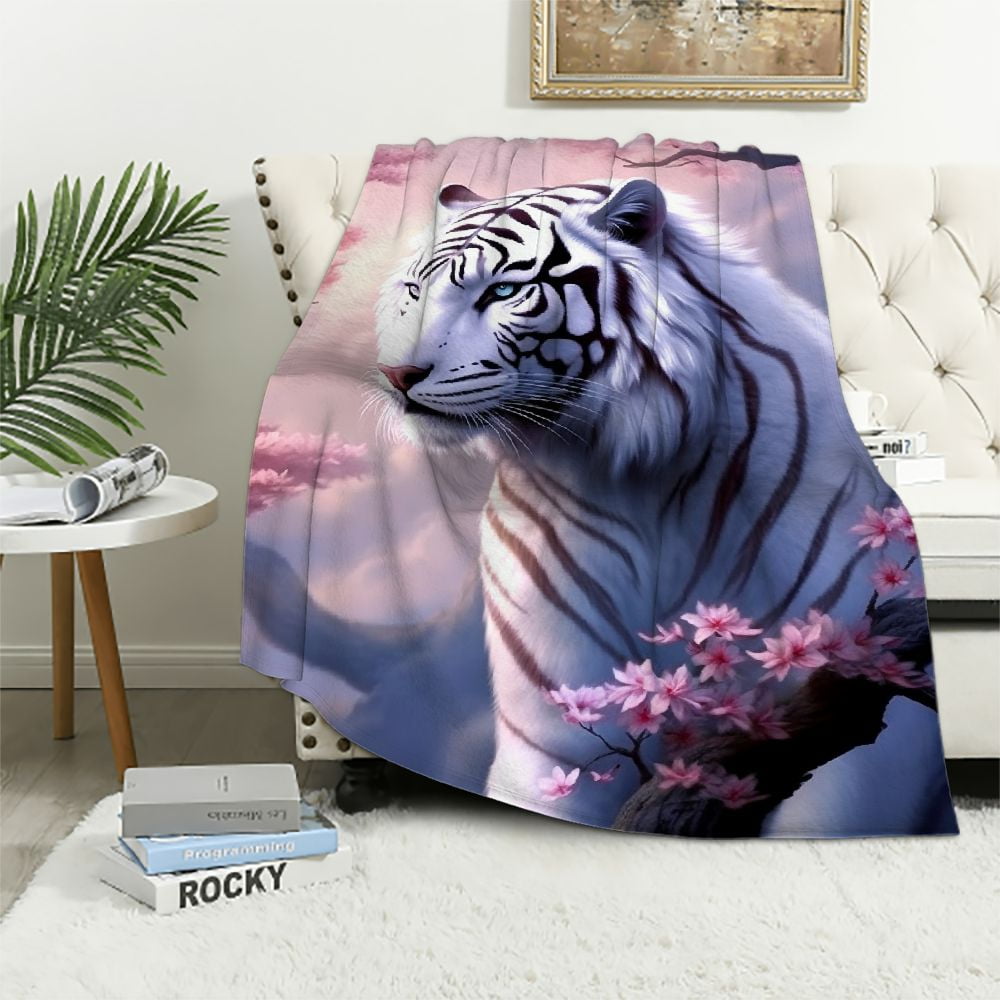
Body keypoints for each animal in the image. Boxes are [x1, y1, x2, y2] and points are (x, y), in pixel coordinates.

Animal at [374, 178, 947, 835]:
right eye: (415, 291)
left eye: (503, 291)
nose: (396, 372)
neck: (639, 469)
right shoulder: (554, 736)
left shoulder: (853, 693)